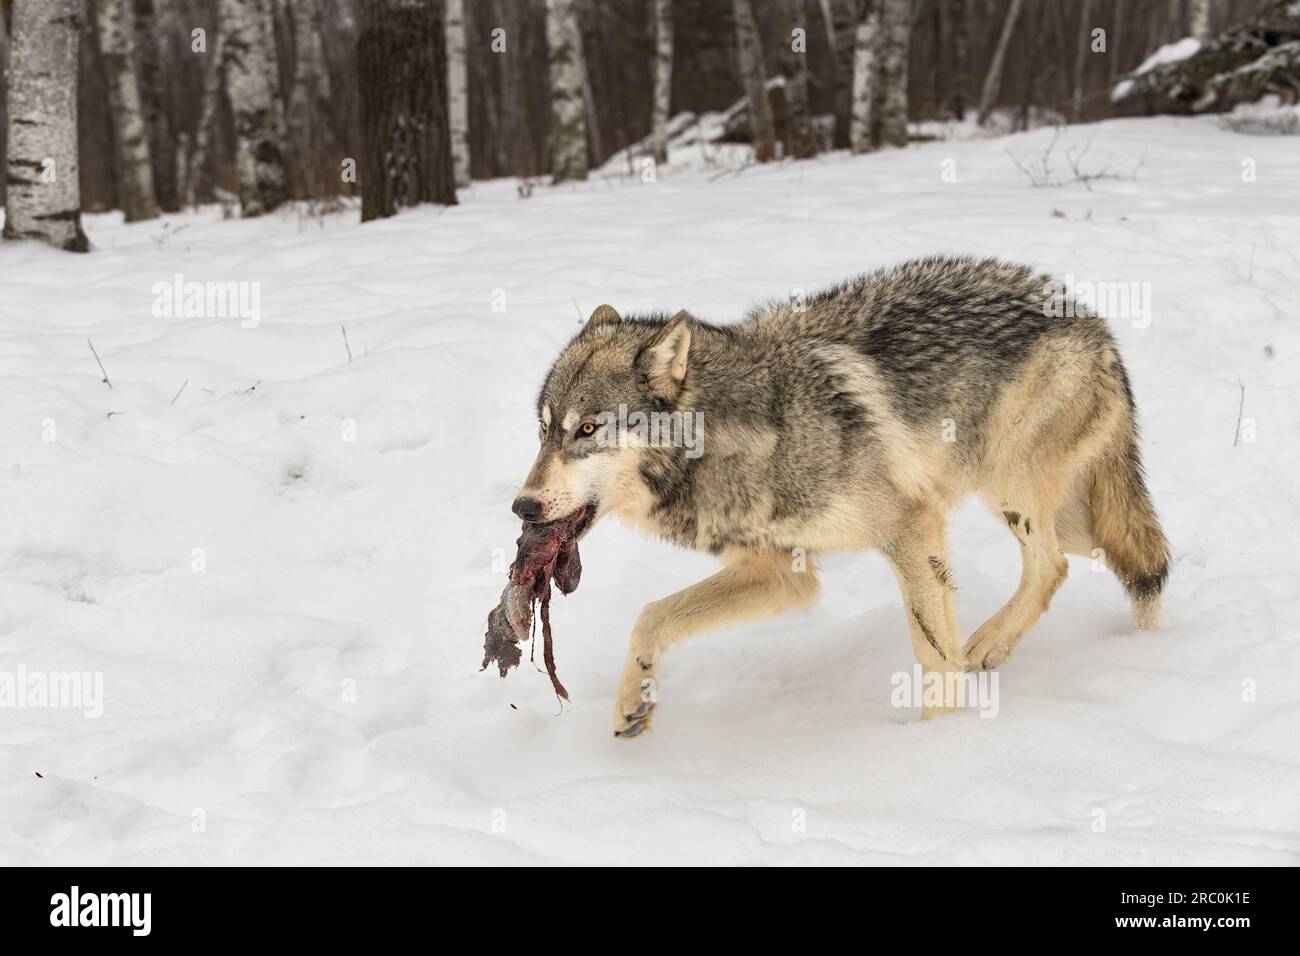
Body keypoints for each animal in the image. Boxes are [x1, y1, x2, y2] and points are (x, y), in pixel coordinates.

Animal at [513, 256, 1169, 737]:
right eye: (543, 430)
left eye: (587, 430)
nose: (522, 507)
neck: (731, 439)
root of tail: (1083, 312)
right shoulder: (786, 575)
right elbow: (652, 615)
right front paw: (633, 700)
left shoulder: (912, 529)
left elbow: (934, 657)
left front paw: (942, 745)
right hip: (1066, 514)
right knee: (1113, 562)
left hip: (1012, 489)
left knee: (1058, 565)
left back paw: (1002, 645)